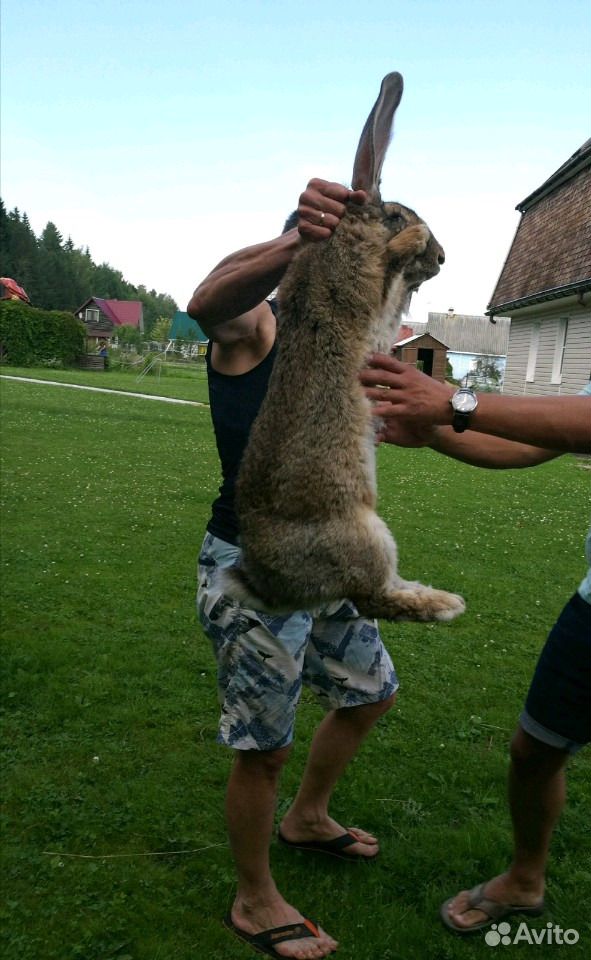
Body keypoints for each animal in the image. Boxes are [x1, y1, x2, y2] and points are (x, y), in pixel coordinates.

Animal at [224, 72, 465, 623]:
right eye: (395, 214)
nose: (442, 255)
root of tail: (267, 585)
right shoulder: (359, 285)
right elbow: (386, 273)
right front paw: (412, 242)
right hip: (368, 538)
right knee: (373, 596)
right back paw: (446, 604)